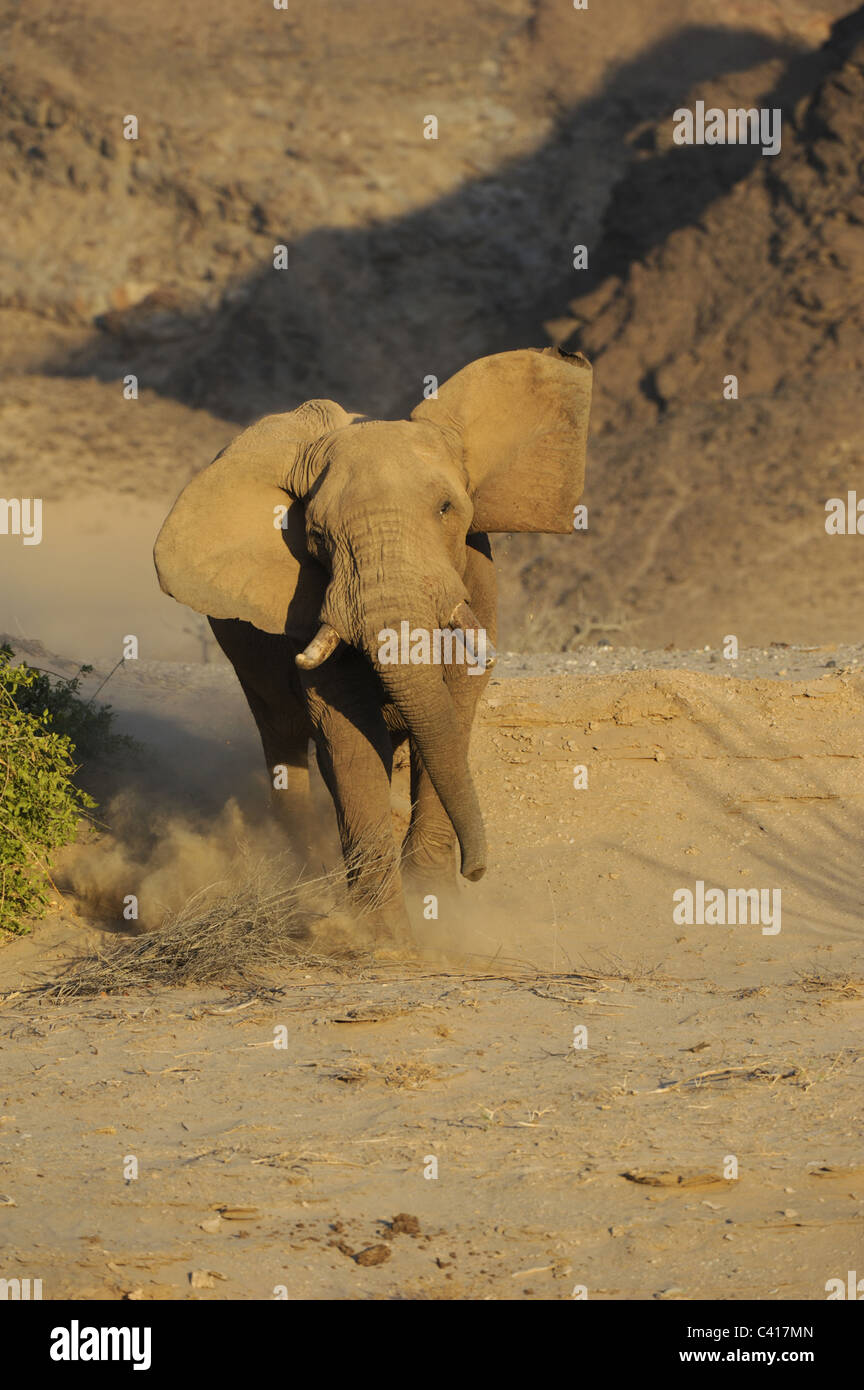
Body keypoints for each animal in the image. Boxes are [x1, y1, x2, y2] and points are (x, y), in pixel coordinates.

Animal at [154, 346, 592, 938]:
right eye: (316, 536)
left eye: (446, 510)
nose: (477, 870)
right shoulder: (310, 604)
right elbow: (350, 737)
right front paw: (385, 939)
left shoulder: (476, 574)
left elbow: (450, 720)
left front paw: (437, 906)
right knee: (281, 733)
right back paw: (300, 875)